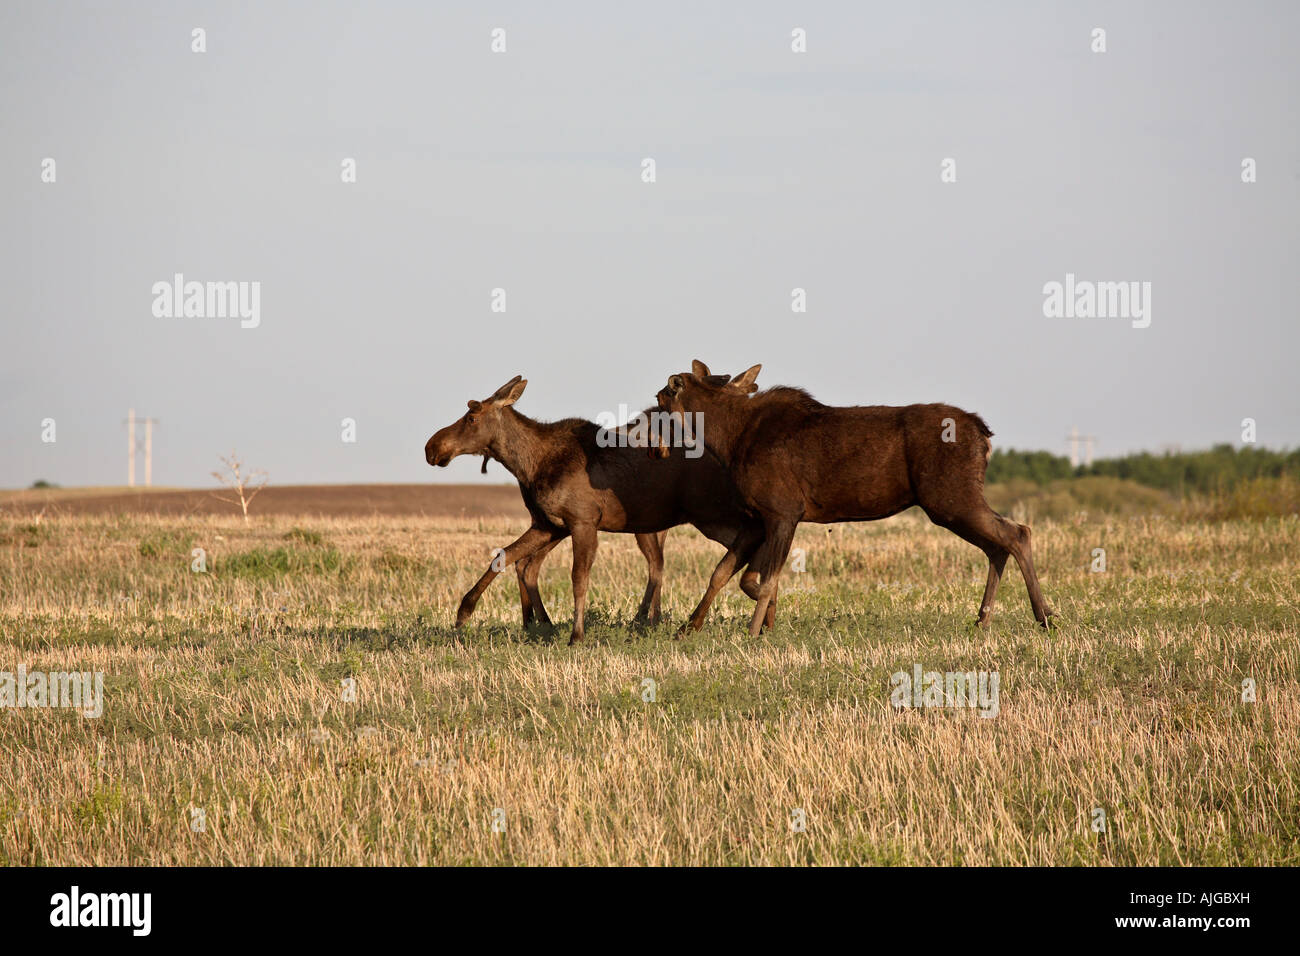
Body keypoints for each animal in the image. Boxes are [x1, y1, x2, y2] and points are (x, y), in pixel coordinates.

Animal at [424, 375, 777, 644]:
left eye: (472, 417)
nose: (432, 447)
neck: (529, 464)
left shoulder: (582, 522)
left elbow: (578, 577)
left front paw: (576, 634)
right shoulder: (549, 524)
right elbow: (505, 557)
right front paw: (464, 612)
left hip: (715, 515)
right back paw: (764, 614)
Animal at [654, 361, 1053, 637]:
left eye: (666, 393)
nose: (654, 404)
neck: (727, 441)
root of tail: (984, 435)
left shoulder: (783, 511)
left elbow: (764, 580)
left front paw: (752, 632)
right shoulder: (757, 517)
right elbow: (726, 574)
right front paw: (690, 628)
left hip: (949, 497)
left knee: (1017, 532)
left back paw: (1043, 616)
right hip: (952, 502)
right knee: (999, 543)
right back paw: (985, 620)